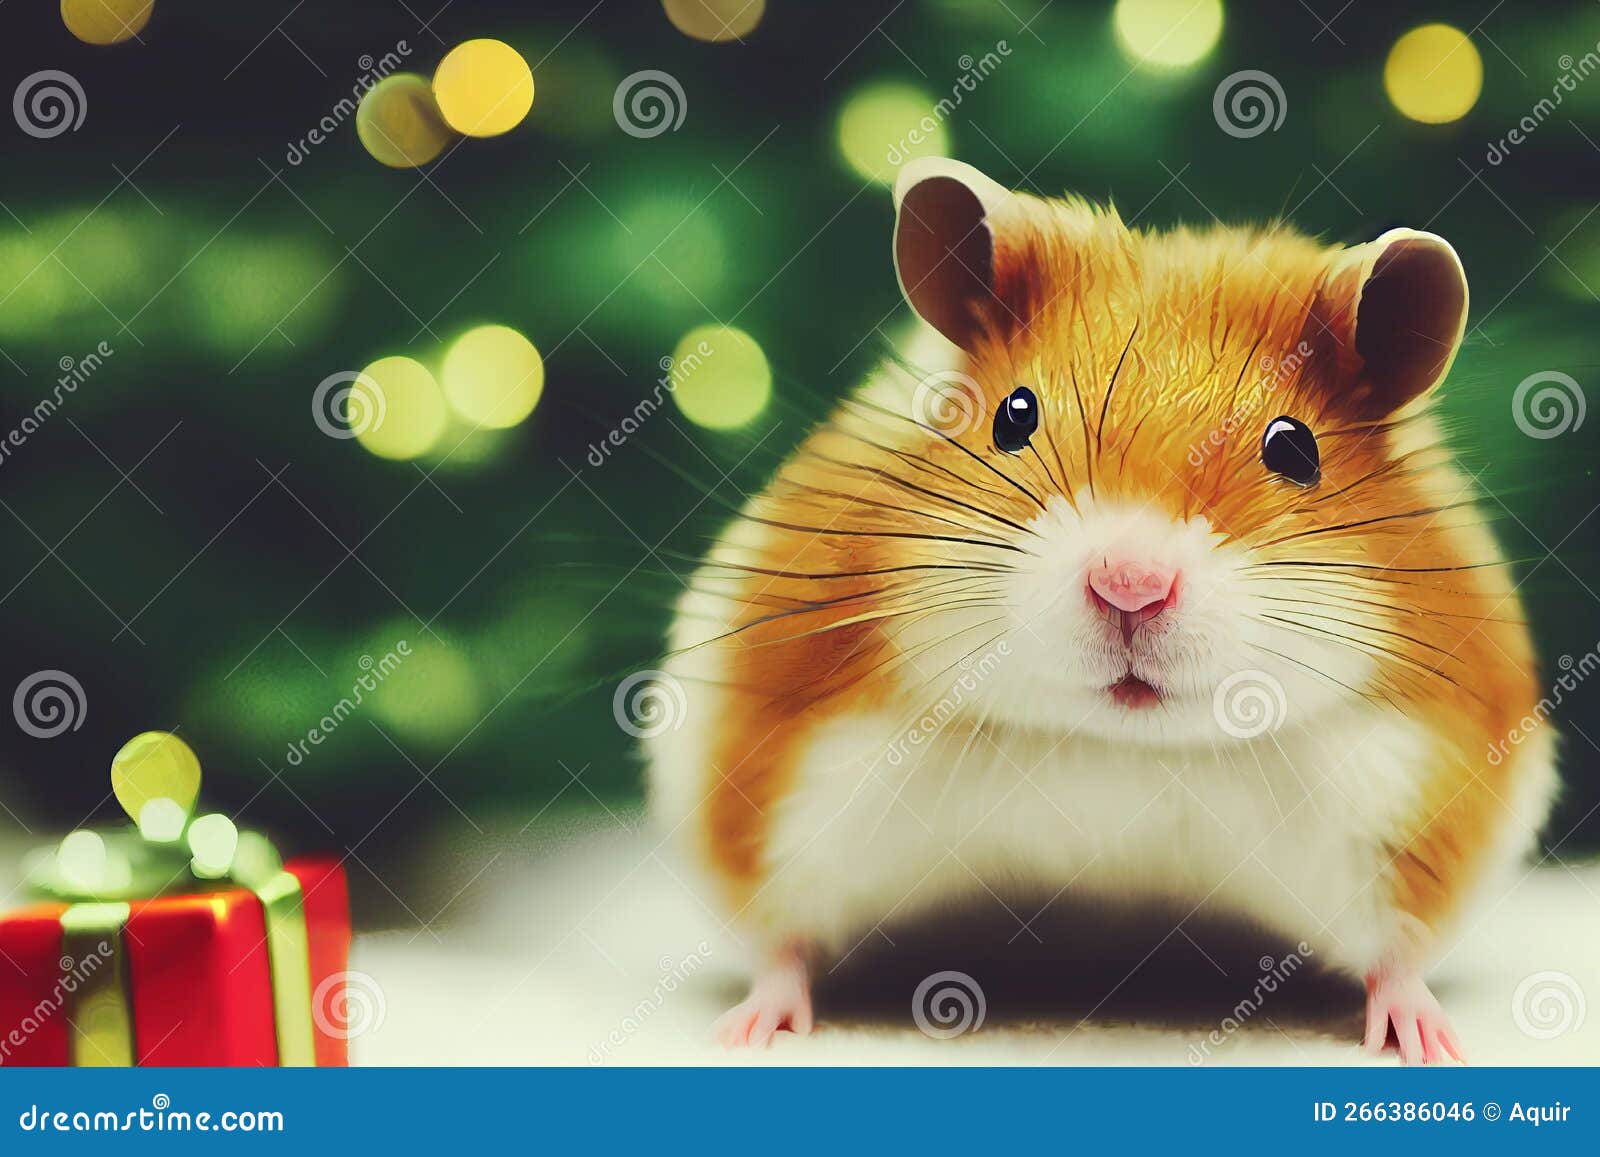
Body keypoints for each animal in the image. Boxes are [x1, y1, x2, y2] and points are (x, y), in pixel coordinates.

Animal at [645, 157, 1557, 1063]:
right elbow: (781, 938)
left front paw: (1433, 1043)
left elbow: (1395, 955)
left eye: (1294, 448)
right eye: (1014, 416)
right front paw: (739, 1035)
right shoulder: (777, 795)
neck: (1118, 745)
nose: (1131, 584)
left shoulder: (1406, 813)